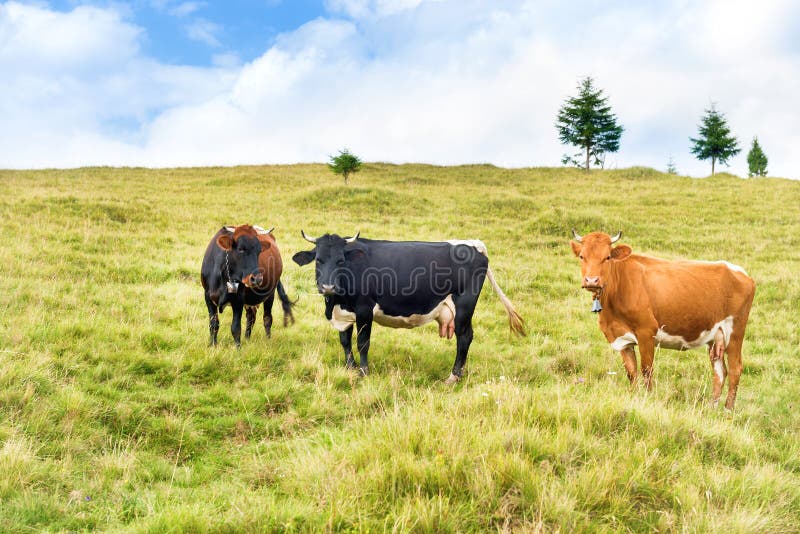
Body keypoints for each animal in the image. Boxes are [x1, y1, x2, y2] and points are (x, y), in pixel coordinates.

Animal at [292, 231, 525, 383]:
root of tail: (472, 244)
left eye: (341, 261)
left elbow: (362, 343)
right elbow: (345, 342)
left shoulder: (364, 309)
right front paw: (351, 368)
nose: (328, 286)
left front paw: (363, 372)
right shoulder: (344, 314)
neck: (336, 303)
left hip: (464, 306)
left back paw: (453, 376)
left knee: (465, 337)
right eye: (318, 260)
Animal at [570, 229, 755, 409]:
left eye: (607, 257)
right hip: (715, 337)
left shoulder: (646, 332)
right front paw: (633, 396)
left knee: (735, 368)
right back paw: (711, 409)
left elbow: (646, 370)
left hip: (735, 331)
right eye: (582, 256)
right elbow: (631, 372)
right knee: (720, 371)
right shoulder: (621, 338)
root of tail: (739, 271)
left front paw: (647, 399)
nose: (592, 280)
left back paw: (728, 410)